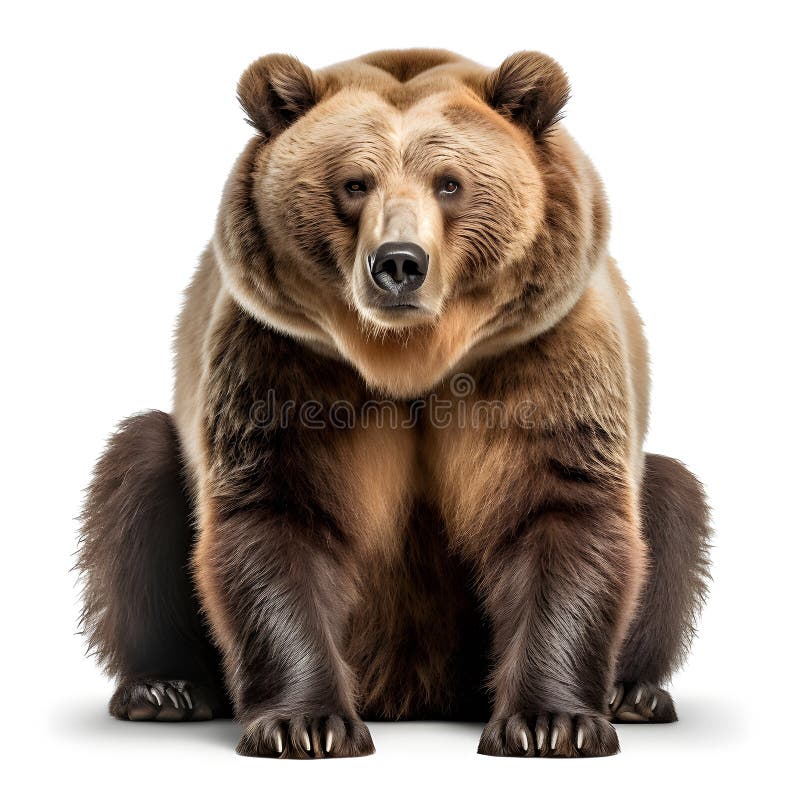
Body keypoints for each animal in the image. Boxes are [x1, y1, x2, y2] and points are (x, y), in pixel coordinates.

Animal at [77, 48, 711, 758]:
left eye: (450, 184)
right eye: (354, 183)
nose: (399, 263)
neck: (411, 362)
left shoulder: (541, 356)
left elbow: (562, 508)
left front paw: (553, 723)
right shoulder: (284, 364)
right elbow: (276, 512)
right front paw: (306, 725)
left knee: (673, 499)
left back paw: (635, 693)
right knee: (137, 479)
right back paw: (164, 689)